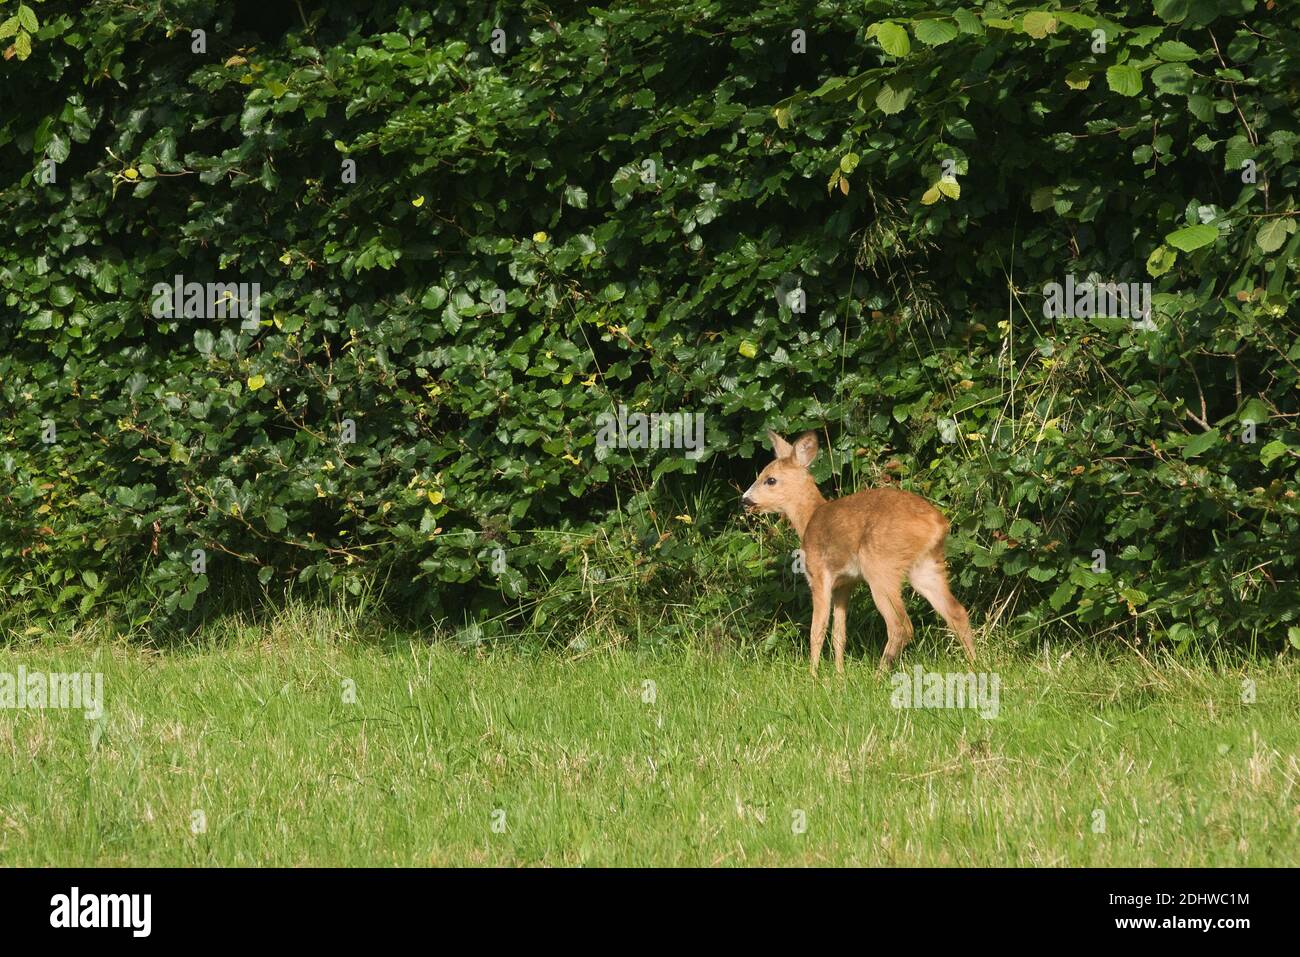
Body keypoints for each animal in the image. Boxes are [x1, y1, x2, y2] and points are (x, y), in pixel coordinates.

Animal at [742, 430, 974, 675]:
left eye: (770, 479)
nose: (744, 500)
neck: (808, 519)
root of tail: (937, 524)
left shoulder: (818, 575)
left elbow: (817, 630)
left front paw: (813, 676)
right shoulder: (845, 584)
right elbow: (839, 634)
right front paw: (839, 675)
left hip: (881, 566)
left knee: (900, 624)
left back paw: (879, 675)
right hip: (927, 566)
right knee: (957, 612)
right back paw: (975, 664)